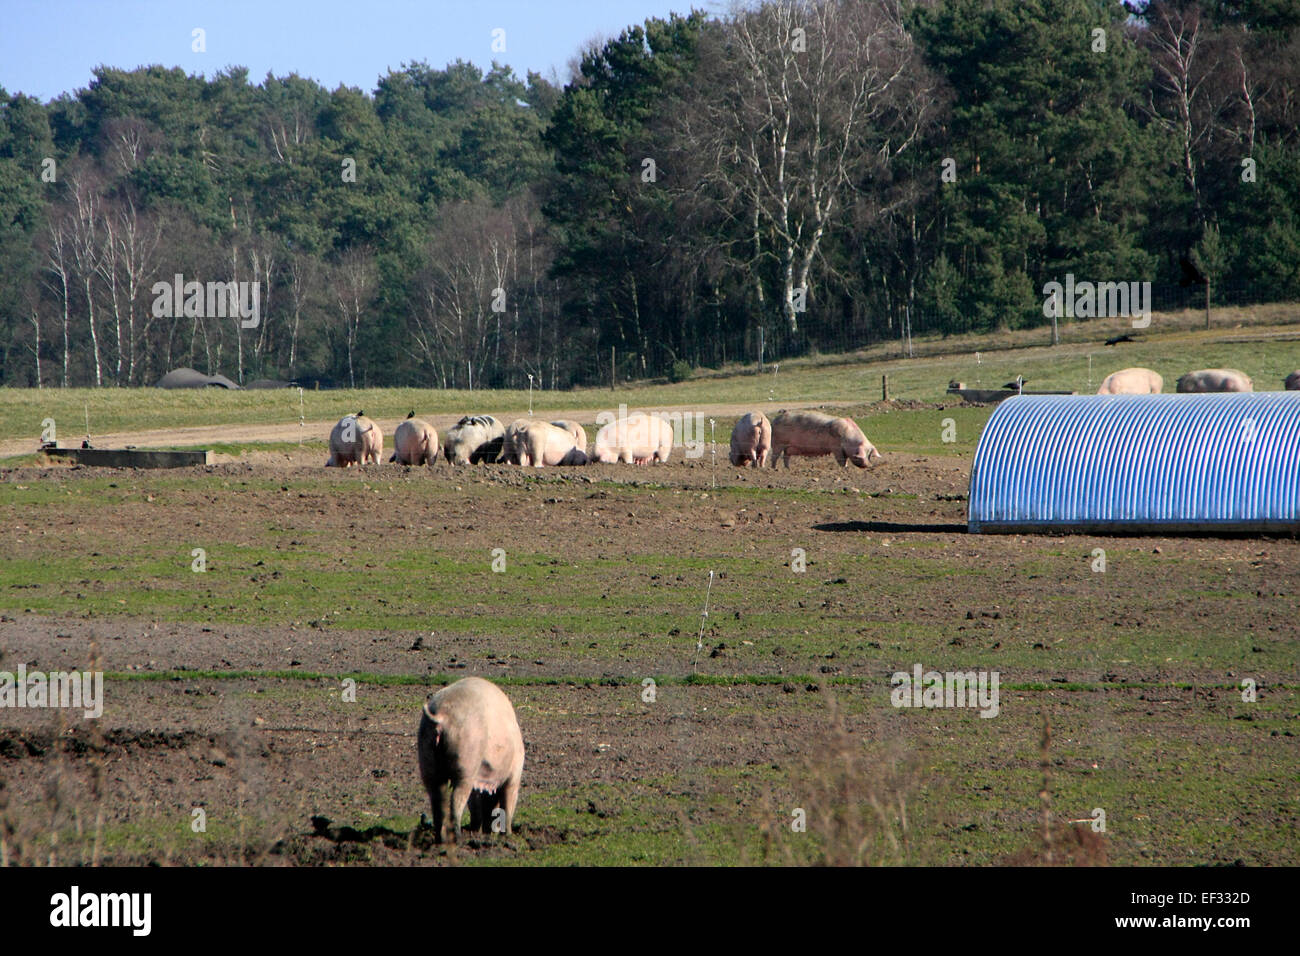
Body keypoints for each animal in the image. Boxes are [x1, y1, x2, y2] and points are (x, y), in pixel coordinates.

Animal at [417, 677, 525, 843]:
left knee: (438, 798)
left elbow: (475, 804)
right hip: (465, 761)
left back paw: (440, 839)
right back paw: (458, 838)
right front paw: (508, 836)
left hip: (427, 758)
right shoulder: (514, 774)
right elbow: (508, 805)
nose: (489, 831)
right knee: (456, 799)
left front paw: (477, 830)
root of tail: (442, 716)